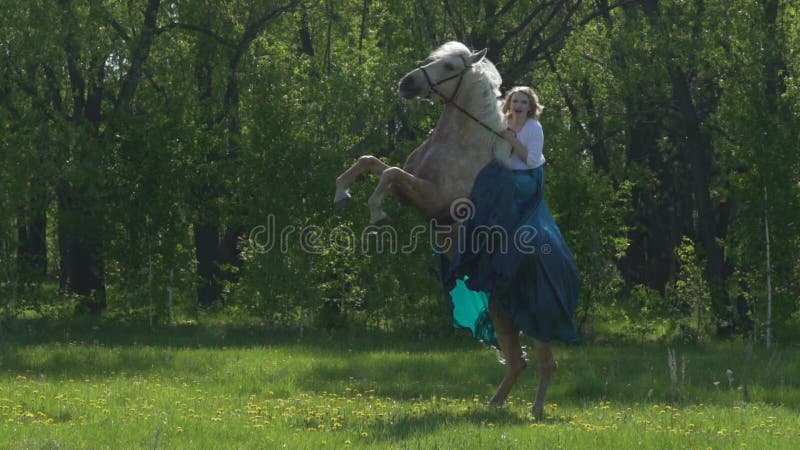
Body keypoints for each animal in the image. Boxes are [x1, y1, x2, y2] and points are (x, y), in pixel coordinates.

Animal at [333, 41, 558, 418]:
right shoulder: (412, 189)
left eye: (451, 66)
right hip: (500, 311)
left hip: (530, 314)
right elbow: (372, 163)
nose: (406, 83)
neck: (460, 144)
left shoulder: (432, 199)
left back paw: (536, 410)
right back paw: (492, 406)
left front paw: (377, 216)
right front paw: (342, 193)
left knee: (544, 362)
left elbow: (388, 173)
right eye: (432, 59)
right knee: (517, 361)